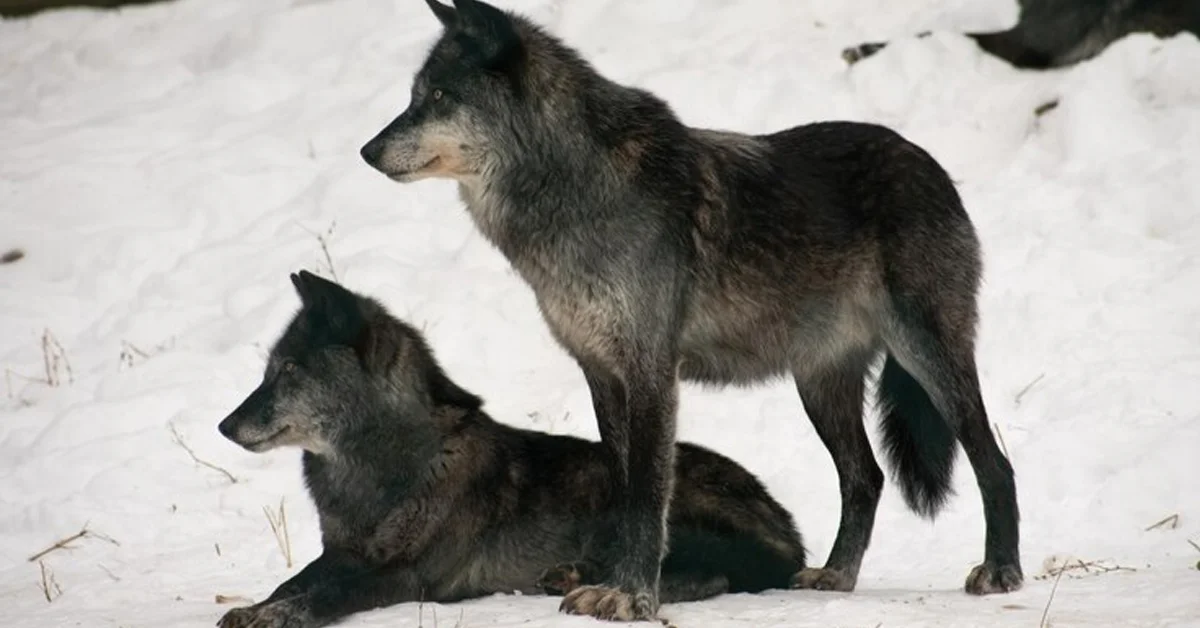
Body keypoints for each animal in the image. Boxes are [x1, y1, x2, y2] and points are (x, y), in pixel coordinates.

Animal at [215, 270, 806, 628]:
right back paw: (572, 575)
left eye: (290, 370)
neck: (384, 469)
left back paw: (593, 587)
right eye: (270, 370)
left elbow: (327, 595)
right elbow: (293, 580)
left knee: (703, 572)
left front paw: (276, 615)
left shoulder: (409, 576)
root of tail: (788, 528)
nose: (224, 425)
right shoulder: (342, 554)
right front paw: (258, 606)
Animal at [359, 0, 1022, 620]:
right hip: (819, 385)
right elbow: (621, 488)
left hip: (929, 358)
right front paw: (615, 582)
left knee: (993, 459)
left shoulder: (651, 369)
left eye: (438, 97)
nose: (366, 150)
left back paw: (1000, 572)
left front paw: (632, 597)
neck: (574, 193)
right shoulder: (602, 372)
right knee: (866, 476)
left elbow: (649, 492)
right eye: (414, 96)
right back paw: (836, 574)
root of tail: (927, 161)